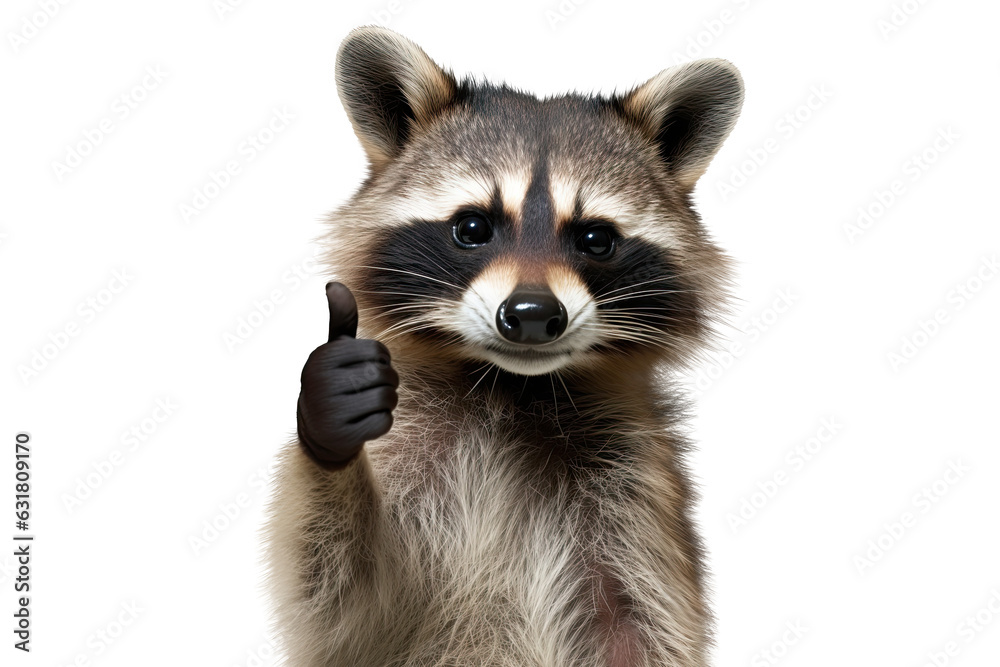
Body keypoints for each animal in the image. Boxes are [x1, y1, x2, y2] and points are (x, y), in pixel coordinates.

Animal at [264, 26, 744, 667]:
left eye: (595, 239)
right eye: (472, 228)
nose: (533, 315)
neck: (510, 386)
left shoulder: (632, 492)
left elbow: (640, 627)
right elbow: (341, 603)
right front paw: (329, 427)